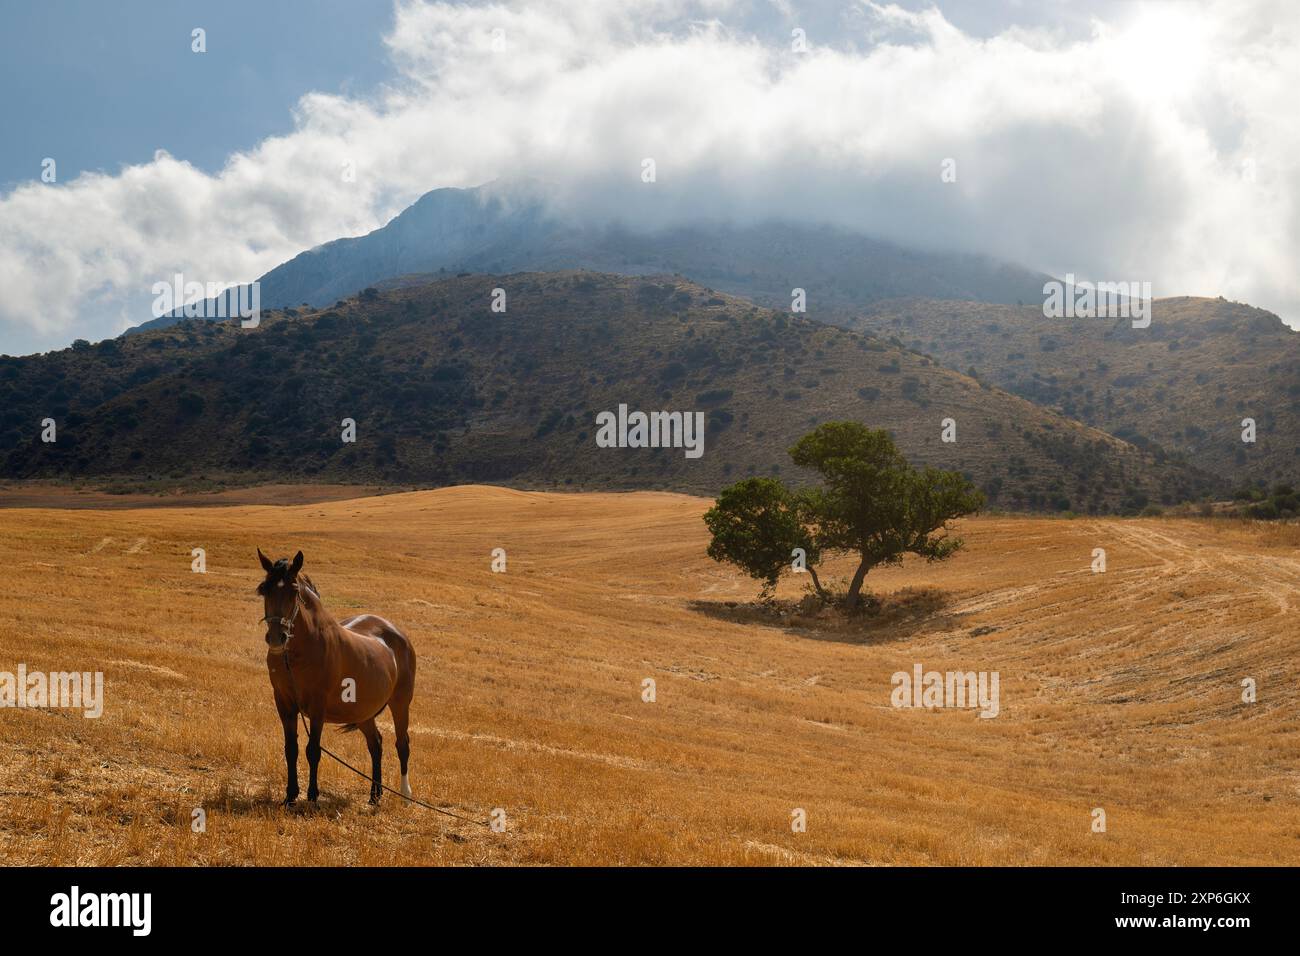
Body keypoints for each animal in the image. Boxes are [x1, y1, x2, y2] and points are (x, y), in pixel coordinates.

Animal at [257, 549, 416, 806]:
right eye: (264, 589)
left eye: (294, 591)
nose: (276, 638)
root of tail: (398, 635)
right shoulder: (284, 703)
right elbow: (291, 749)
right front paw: (290, 796)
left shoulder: (318, 706)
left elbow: (313, 750)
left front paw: (312, 797)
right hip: (363, 713)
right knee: (376, 744)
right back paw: (375, 796)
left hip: (400, 703)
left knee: (402, 745)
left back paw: (405, 796)